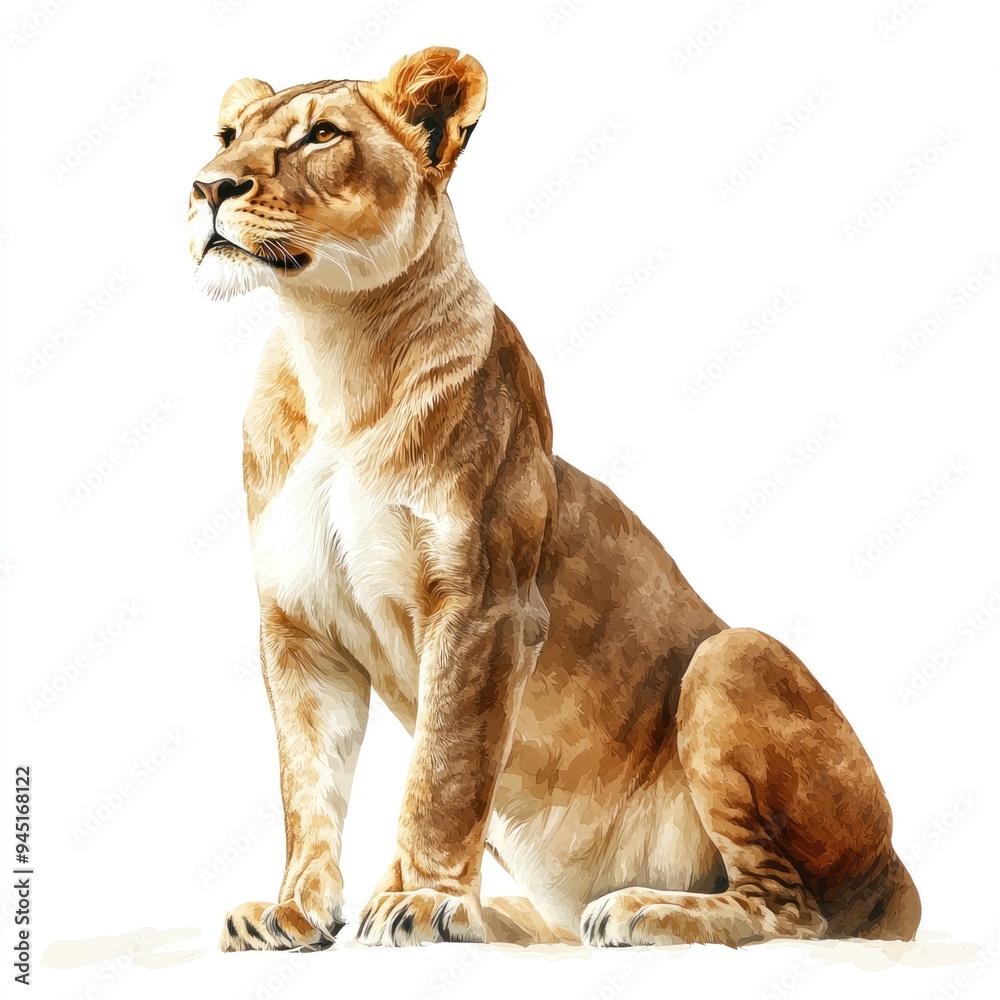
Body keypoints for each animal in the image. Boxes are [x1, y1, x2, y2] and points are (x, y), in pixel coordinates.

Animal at [187, 47, 920, 950]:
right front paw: (295, 910)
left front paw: (422, 900)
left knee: (792, 910)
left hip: (734, 658)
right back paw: (506, 917)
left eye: (321, 136)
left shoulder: (484, 603)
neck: (332, 345)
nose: (208, 187)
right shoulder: (298, 624)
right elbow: (307, 783)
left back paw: (641, 909)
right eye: (226, 136)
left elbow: (445, 773)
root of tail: (899, 878)